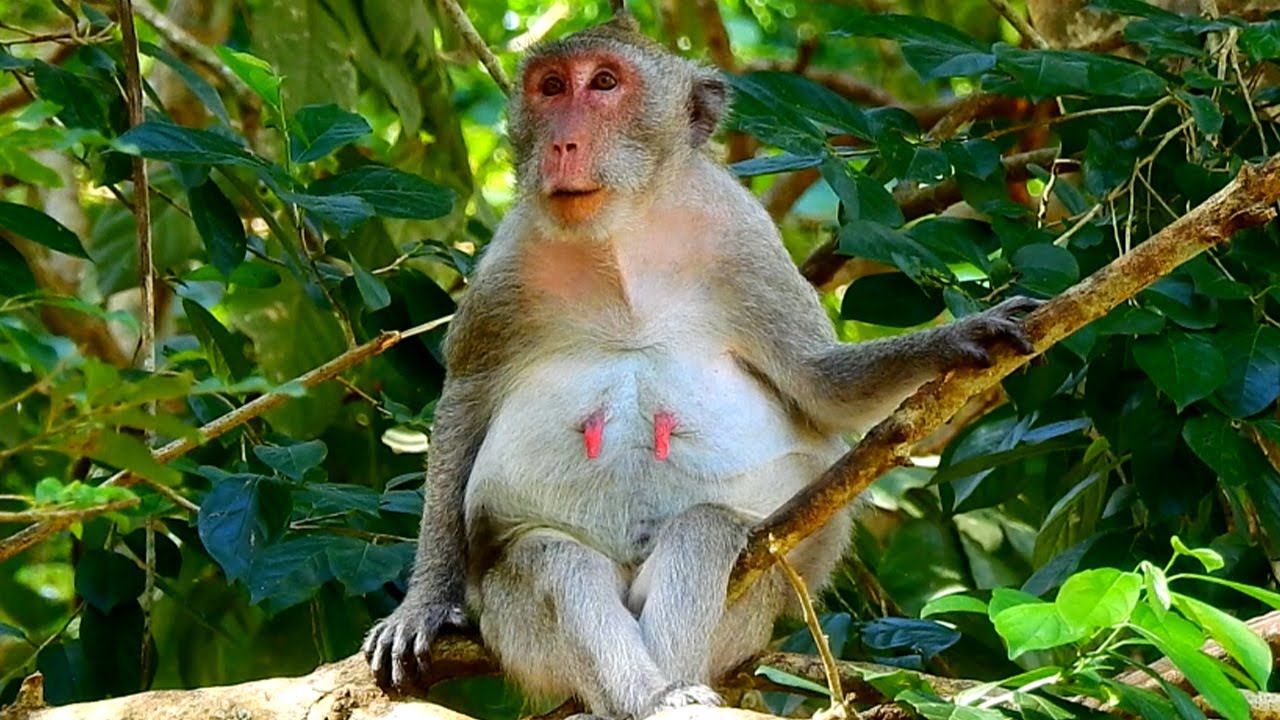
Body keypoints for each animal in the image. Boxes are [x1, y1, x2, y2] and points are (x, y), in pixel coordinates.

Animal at [363, 8, 1039, 718]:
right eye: (551, 87)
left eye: (604, 83)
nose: (563, 143)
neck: (620, 237)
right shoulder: (506, 268)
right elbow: (464, 408)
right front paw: (424, 604)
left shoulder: (743, 240)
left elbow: (819, 385)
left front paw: (957, 338)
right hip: (519, 631)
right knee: (549, 561)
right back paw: (648, 695)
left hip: (755, 605)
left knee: (708, 529)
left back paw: (679, 682)